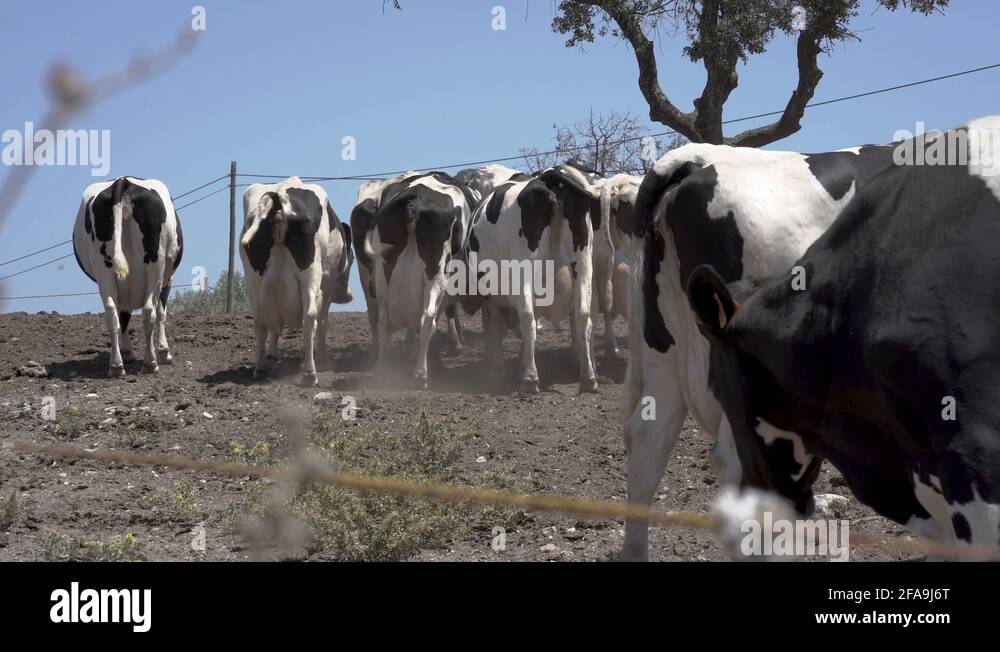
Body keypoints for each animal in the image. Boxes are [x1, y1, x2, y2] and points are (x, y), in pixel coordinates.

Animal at [72, 176, 183, 377]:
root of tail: (123, 181)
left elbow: (124, 315)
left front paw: (127, 352)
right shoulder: (167, 280)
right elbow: (162, 313)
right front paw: (164, 352)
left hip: (104, 270)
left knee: (111, 313)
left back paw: (116, 365)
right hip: (155, 264)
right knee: (149, 311)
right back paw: (150, 363)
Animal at [239, 177, 353, 386]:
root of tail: (279, 197)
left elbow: (275, 328)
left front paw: (273, 355)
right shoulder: (327, 289)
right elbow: (322, 321)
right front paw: (322, 357)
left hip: (253, 280)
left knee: (260, 323)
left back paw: (260, 368)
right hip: (309, 276)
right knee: (309, 319)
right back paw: (309, 373)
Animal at [363, 171, 476, 387]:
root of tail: (416, 197)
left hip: (383, 273)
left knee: (384, 322)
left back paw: (382, 370)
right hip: (436, 272)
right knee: (428, 318)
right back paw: (420, 374)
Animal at [469, 163, 602, 393]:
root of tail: (548, 179)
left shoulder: (489, 296)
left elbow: (495, 326)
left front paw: (497, 370)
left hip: (525, 269)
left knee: (527, 317)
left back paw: (530, 379)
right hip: (583, 263)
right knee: (583, 316)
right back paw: (588, 377)